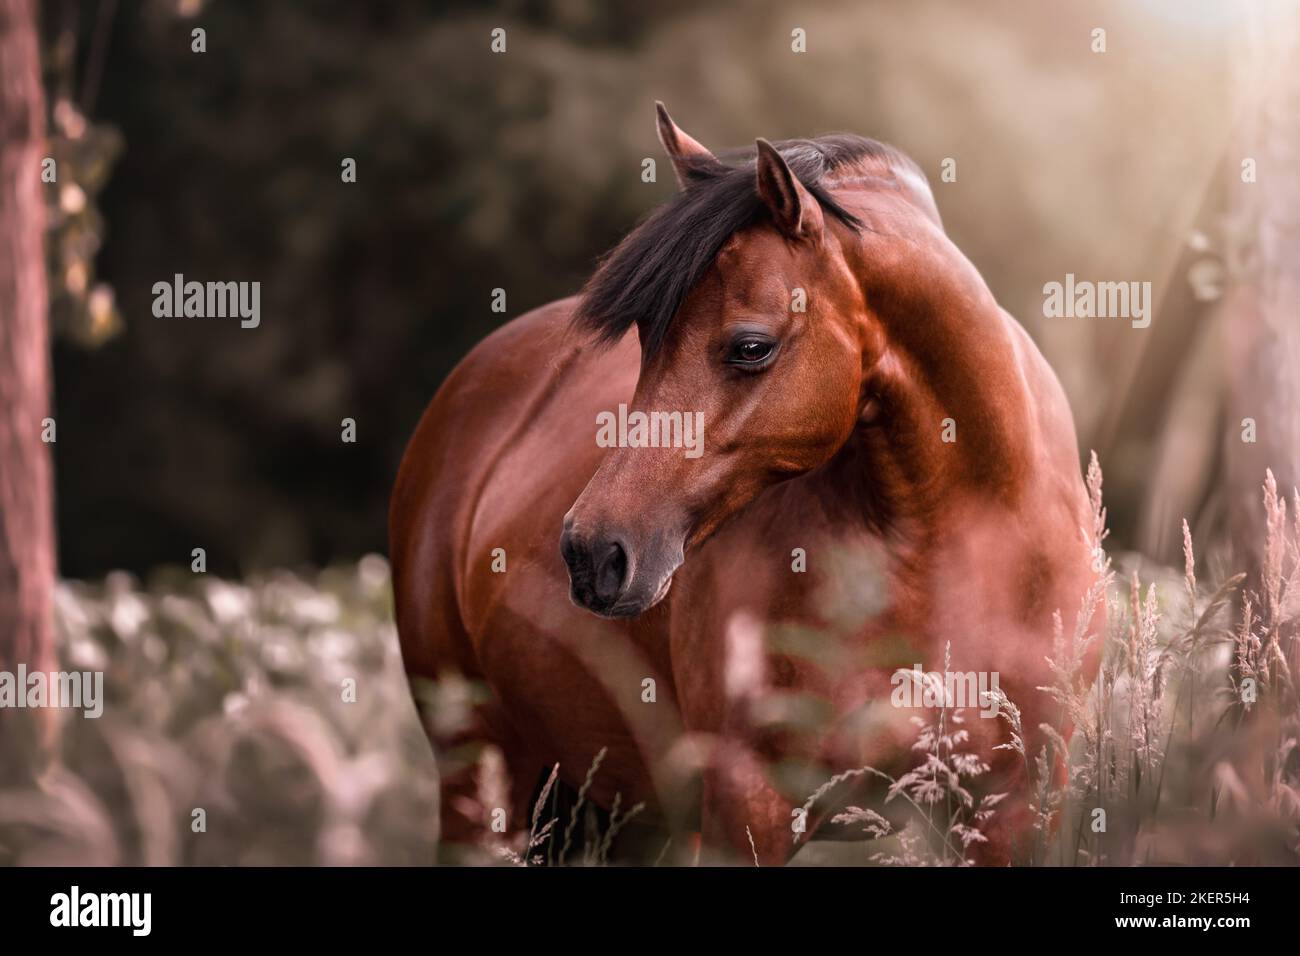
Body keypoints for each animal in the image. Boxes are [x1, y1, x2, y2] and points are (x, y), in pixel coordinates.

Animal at [390, 103, 1102, 865]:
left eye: (751, 346)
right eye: (645, 339)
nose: (591, 553)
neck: (961, 545)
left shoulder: (1016, 809)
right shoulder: (748, 804)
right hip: (479, 776)